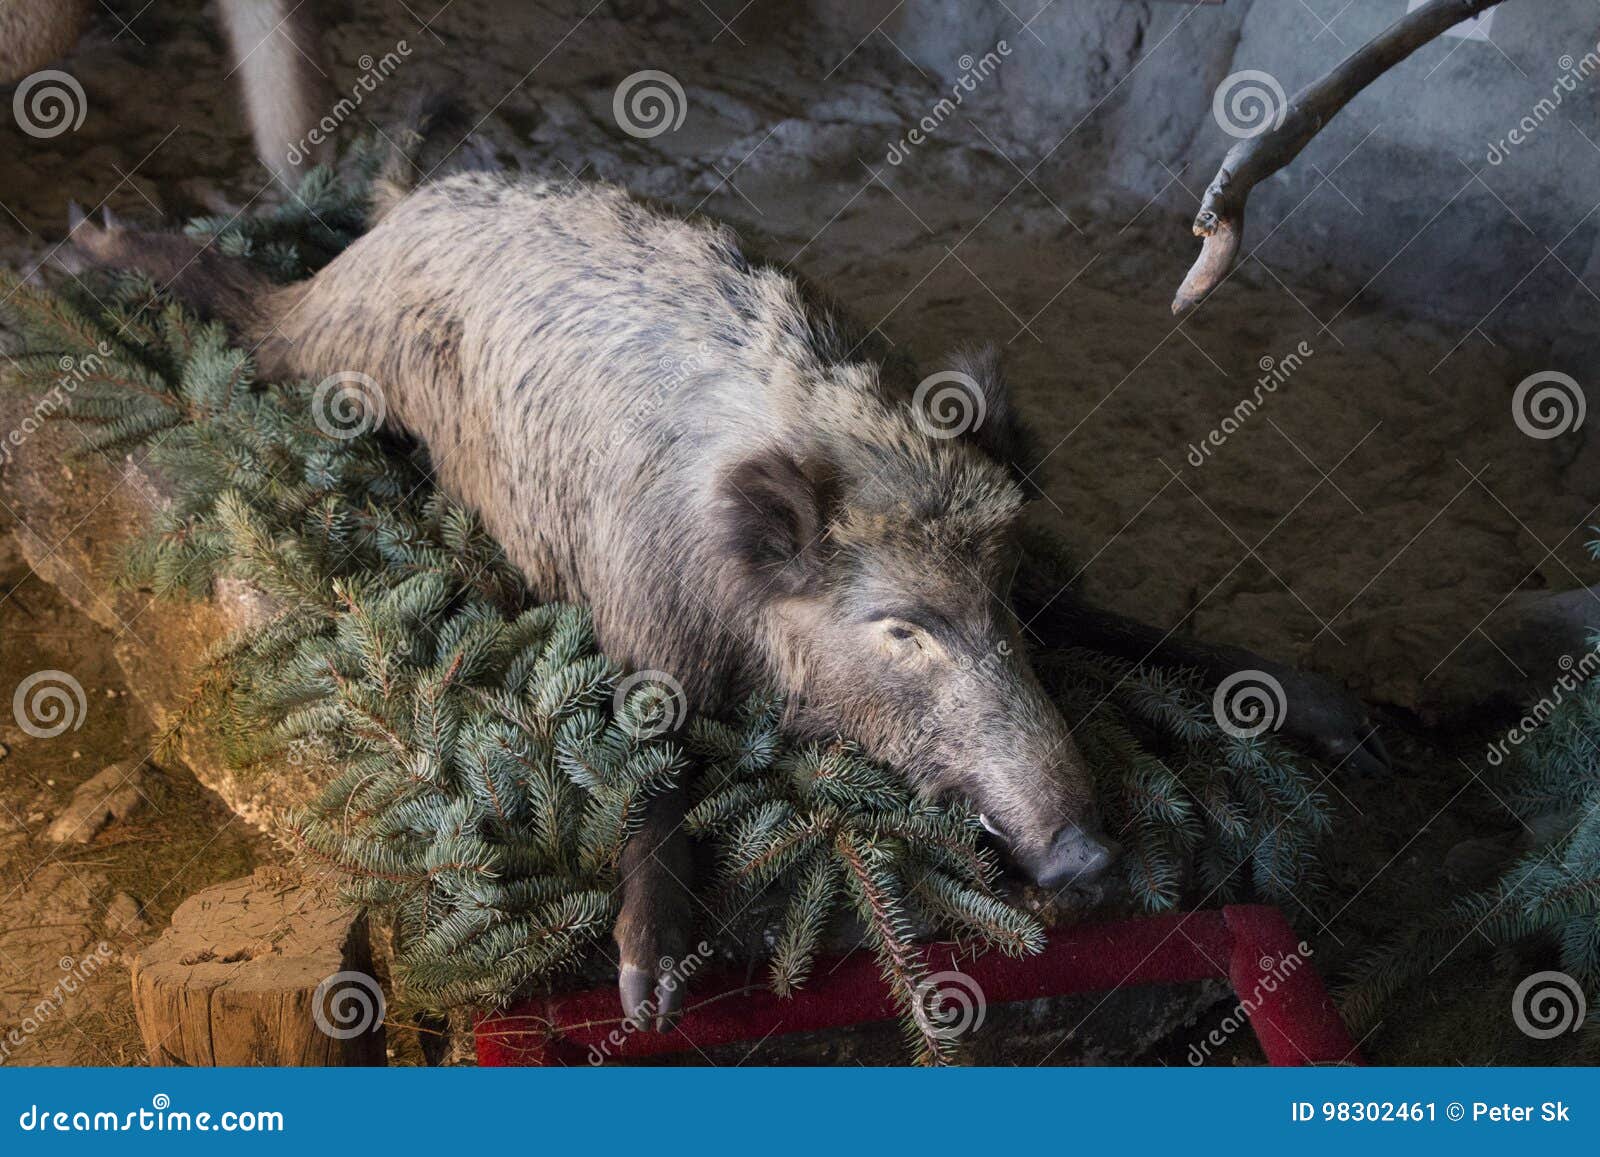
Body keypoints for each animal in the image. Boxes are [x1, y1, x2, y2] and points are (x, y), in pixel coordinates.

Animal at [70, 164, 1121, 1027]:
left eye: (1007, 599)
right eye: (903, 628)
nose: (1092, 857)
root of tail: (415, 199)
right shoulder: (638, 622)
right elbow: (649, 779)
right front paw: (647, 998)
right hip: (332, 342)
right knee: (256, 316)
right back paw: (93, 234)